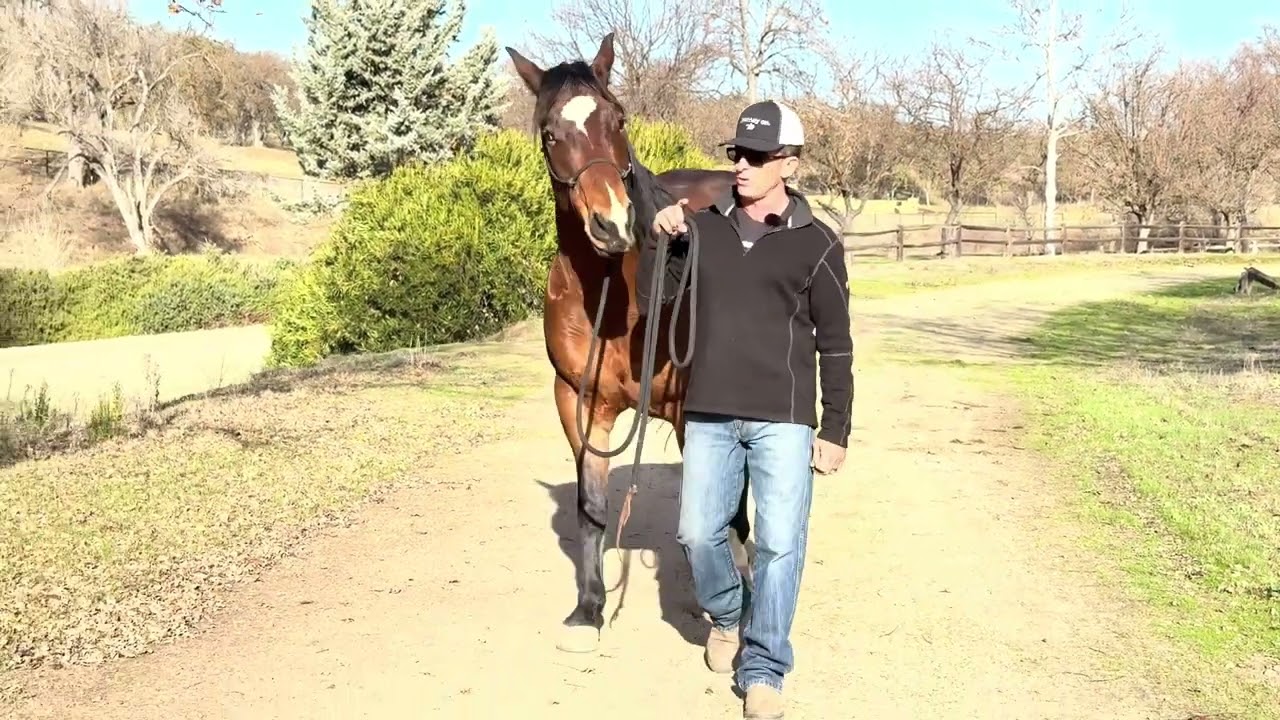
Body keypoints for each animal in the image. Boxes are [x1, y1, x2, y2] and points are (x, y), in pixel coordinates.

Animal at [504, 33, 751, 653]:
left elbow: (720, 506)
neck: (613, 298)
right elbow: (591, 506)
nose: (610, 224)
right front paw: (589, 610)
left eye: (617, 119)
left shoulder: (691, 408)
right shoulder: (580, 402)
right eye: (549, 133)